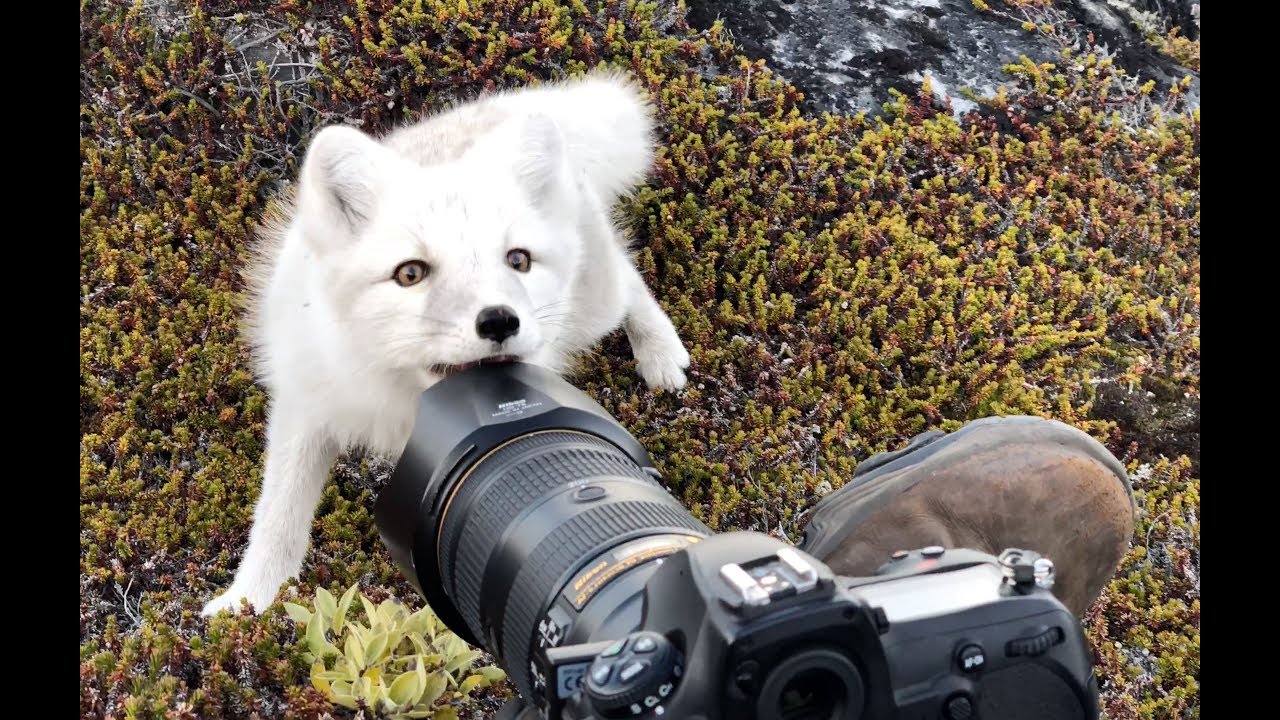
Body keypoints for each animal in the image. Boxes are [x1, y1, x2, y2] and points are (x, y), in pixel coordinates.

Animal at [200, 69, 690, 616]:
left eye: (517, 260)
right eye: (410, 273)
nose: (499, 320)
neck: (405, 396)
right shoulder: (306, 408)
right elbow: (278, 519)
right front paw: (247, 604)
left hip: (594, 307)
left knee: (628, 277)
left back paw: (660, 352)